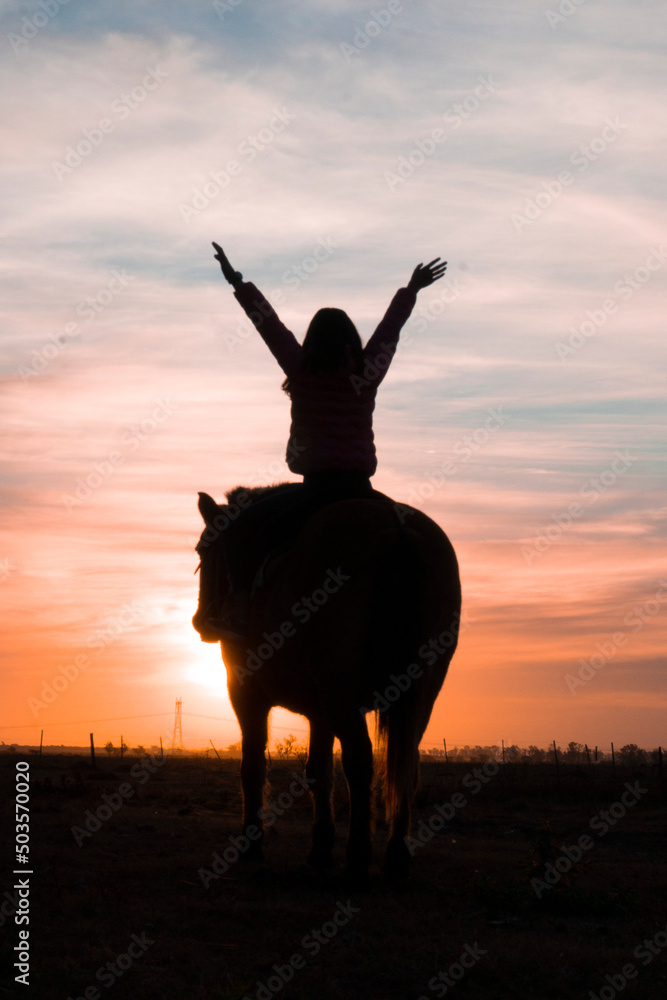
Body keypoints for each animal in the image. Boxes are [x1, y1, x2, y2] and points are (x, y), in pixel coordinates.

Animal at [193, 485, 461, 884]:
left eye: (202, 550)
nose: (201, 621)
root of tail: (396, 527)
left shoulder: (245, 694)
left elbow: (253, 764)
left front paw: (252, 845)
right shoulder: (320, 711)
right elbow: (319, 770)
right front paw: (320, 847)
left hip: (342, 690)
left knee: (360, 761)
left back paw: (359, 855)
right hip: (419, 693)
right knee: (407, 763)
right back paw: (396, 856)